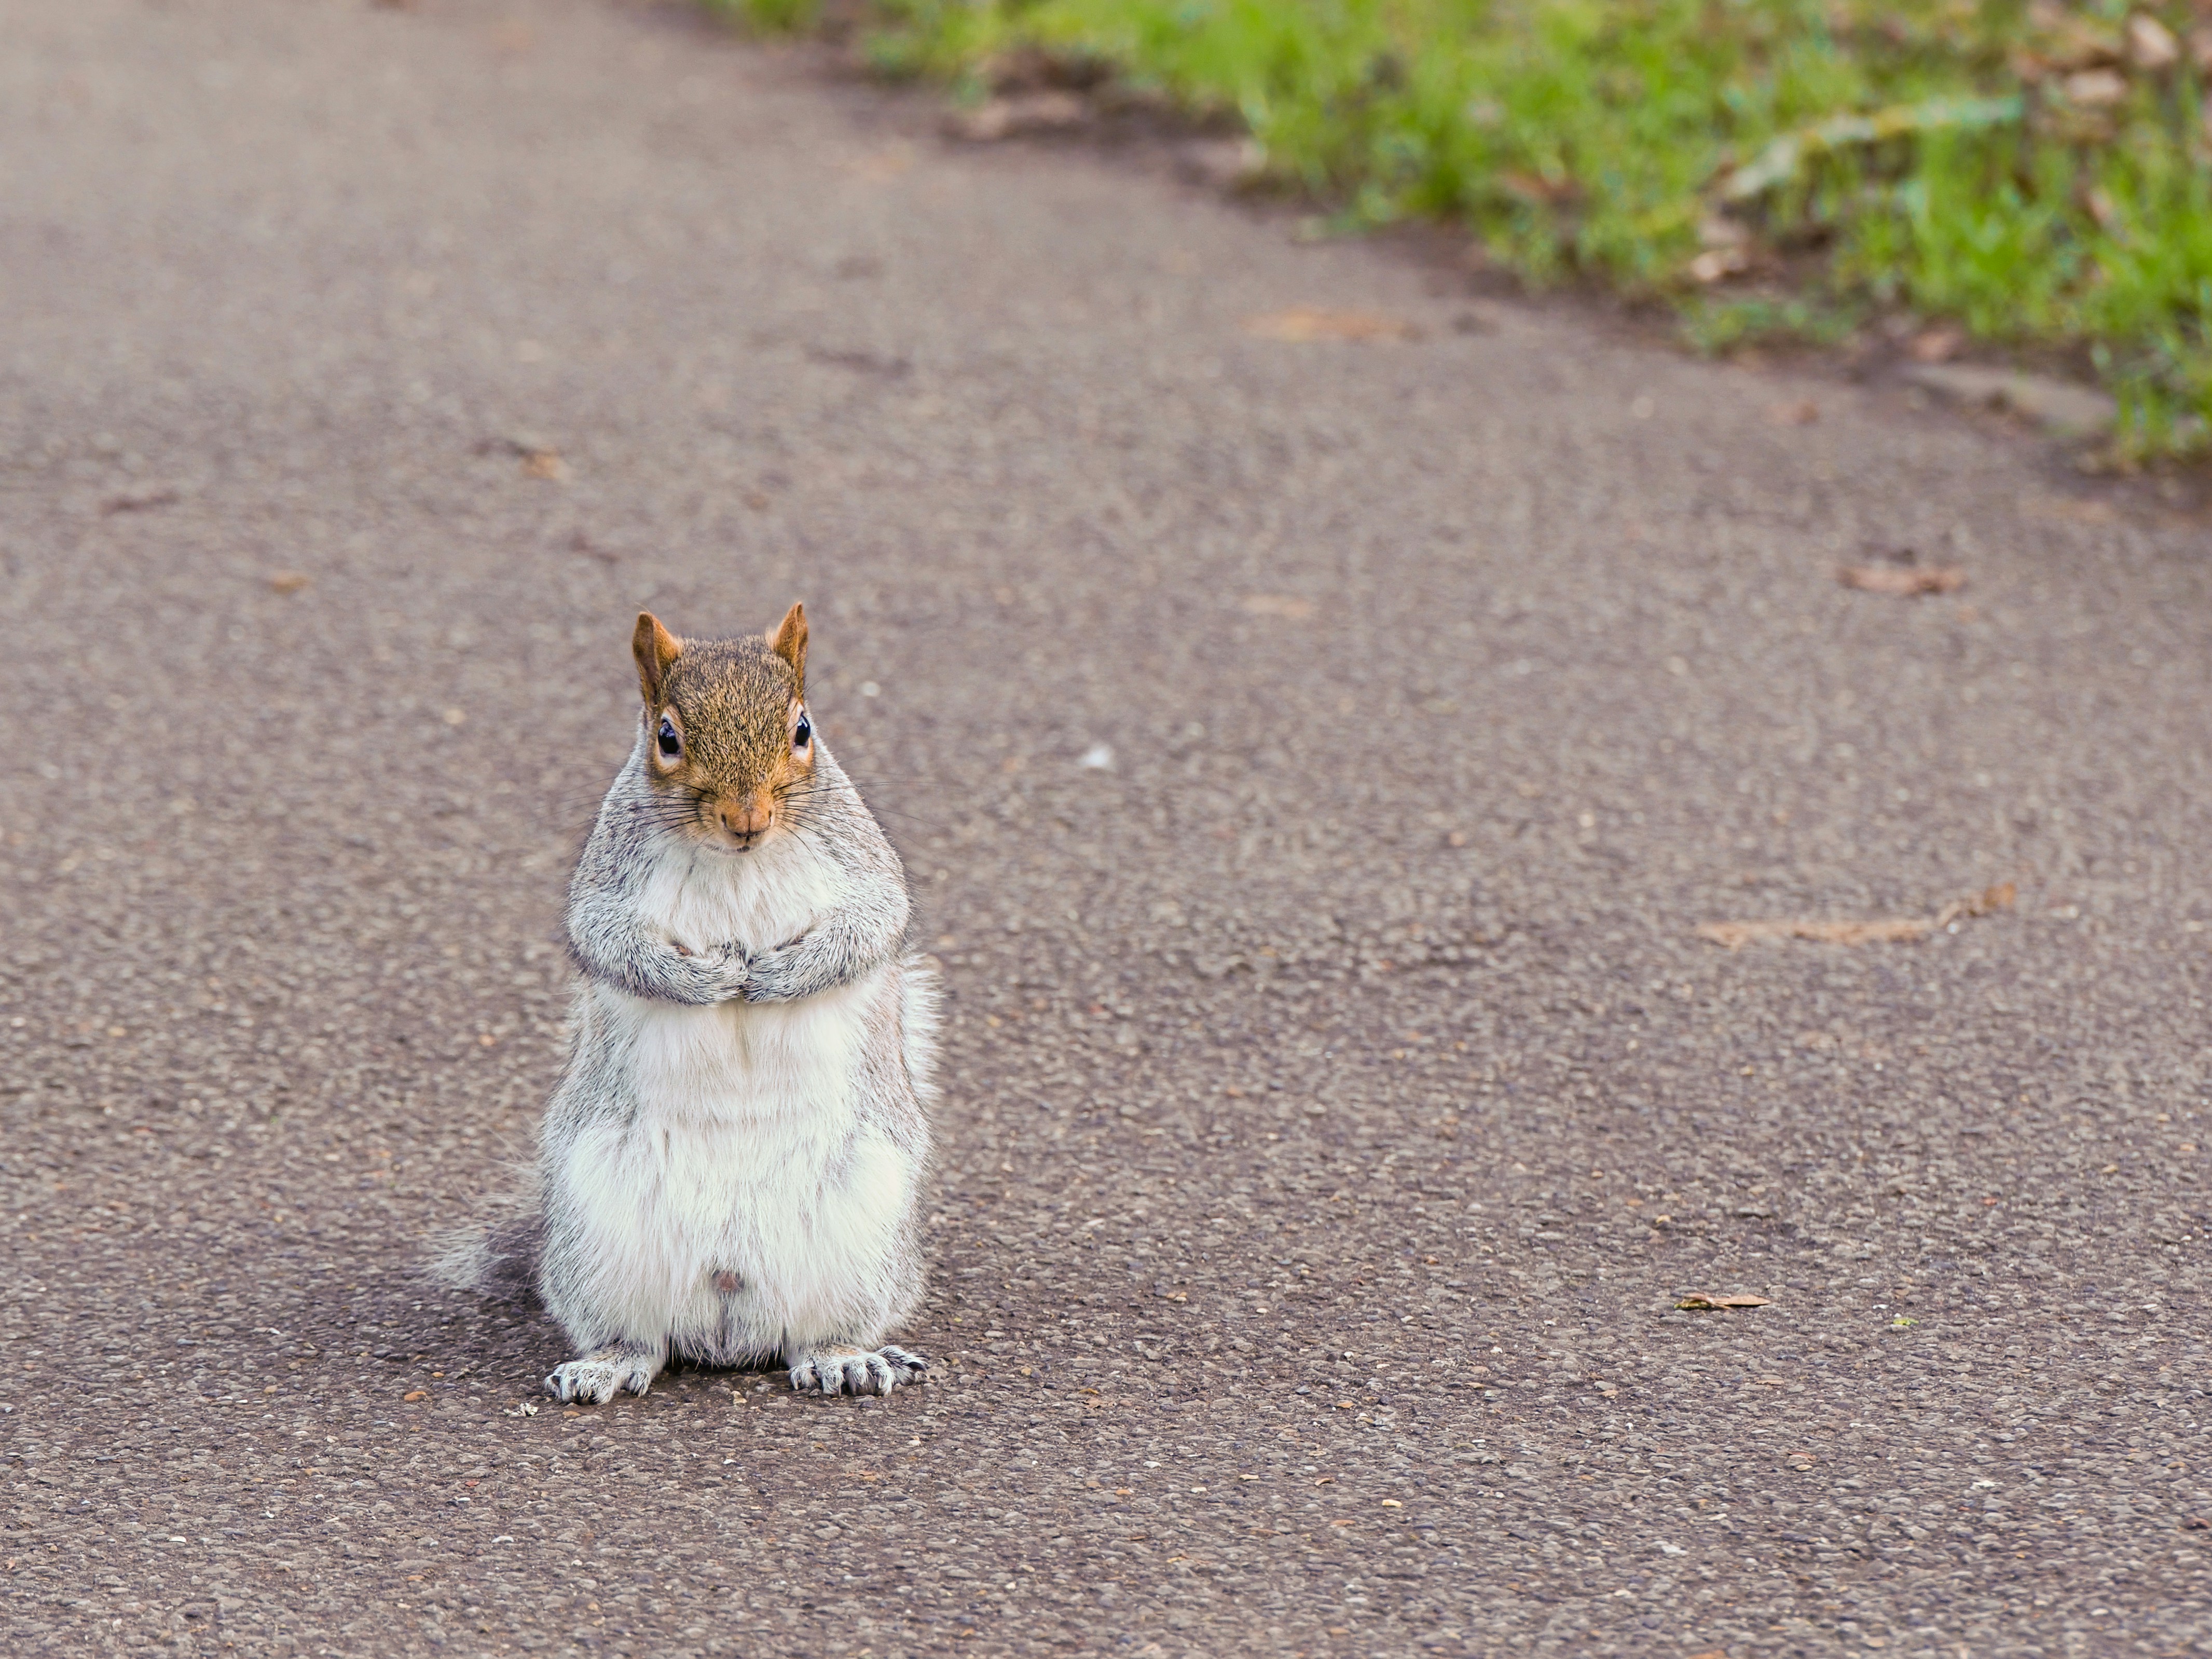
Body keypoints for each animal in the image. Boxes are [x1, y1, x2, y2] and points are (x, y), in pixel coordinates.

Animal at [436, 603, 940, 1403]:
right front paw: (704, 981)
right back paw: (606, 1364)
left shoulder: (863, 860)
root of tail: (730, 1323)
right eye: (666, 738)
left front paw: (776, 975)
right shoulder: (605, 880)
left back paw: (844, 1357)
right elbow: (608, 941)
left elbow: (872, 925)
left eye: (803, 728)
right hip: (598, 1236)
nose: (747, 819)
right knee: (646, 1342)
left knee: (810, 1336)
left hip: (864, 1230)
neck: (737, 860)